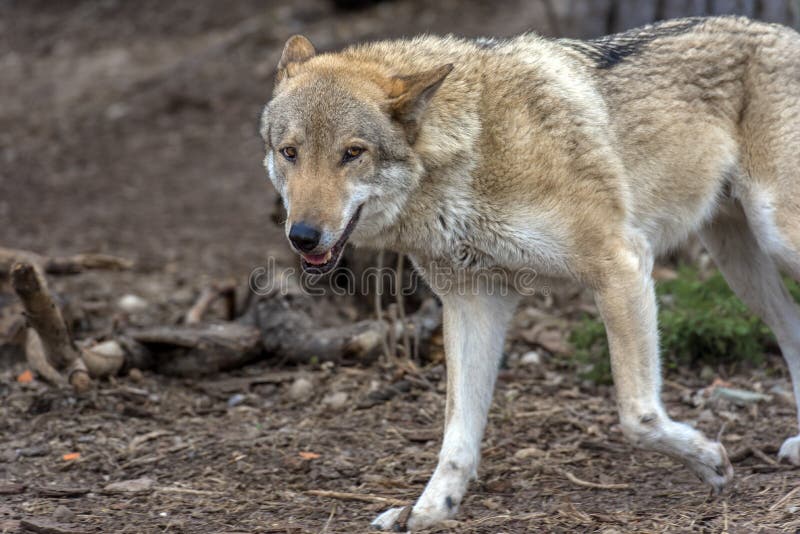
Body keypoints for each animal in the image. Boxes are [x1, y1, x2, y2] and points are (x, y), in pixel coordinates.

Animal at [259, 16, 800, 531]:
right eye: (290, 152)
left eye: (353, 153)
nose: (302, 236)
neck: (473, 150)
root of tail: (784, 30)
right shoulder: (473, 302)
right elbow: (457, 437)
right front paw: (428, 510)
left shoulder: (621, 265)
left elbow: (638, 417)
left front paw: (711, 460)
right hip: (740, 266)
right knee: (789, 324)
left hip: (776, 235)